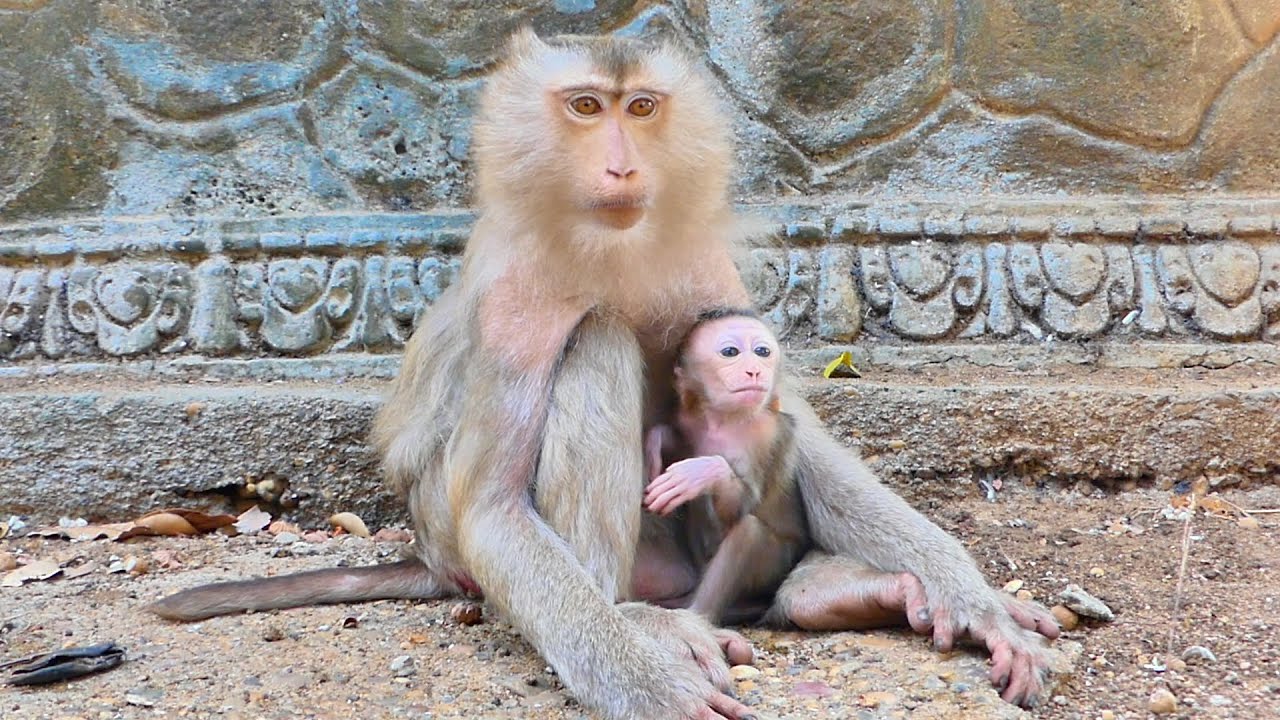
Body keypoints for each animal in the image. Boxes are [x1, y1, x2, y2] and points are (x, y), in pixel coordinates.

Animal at [642, 309, 809, 626]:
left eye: (762, 352)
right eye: (730, 352)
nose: (755, 371)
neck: (725, 420)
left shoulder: (765, 433)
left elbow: (741, 506)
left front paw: (702, 472)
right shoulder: (691, 416)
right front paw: (659, 440)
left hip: (775, 569)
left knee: (749, 533)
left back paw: (695, 614)